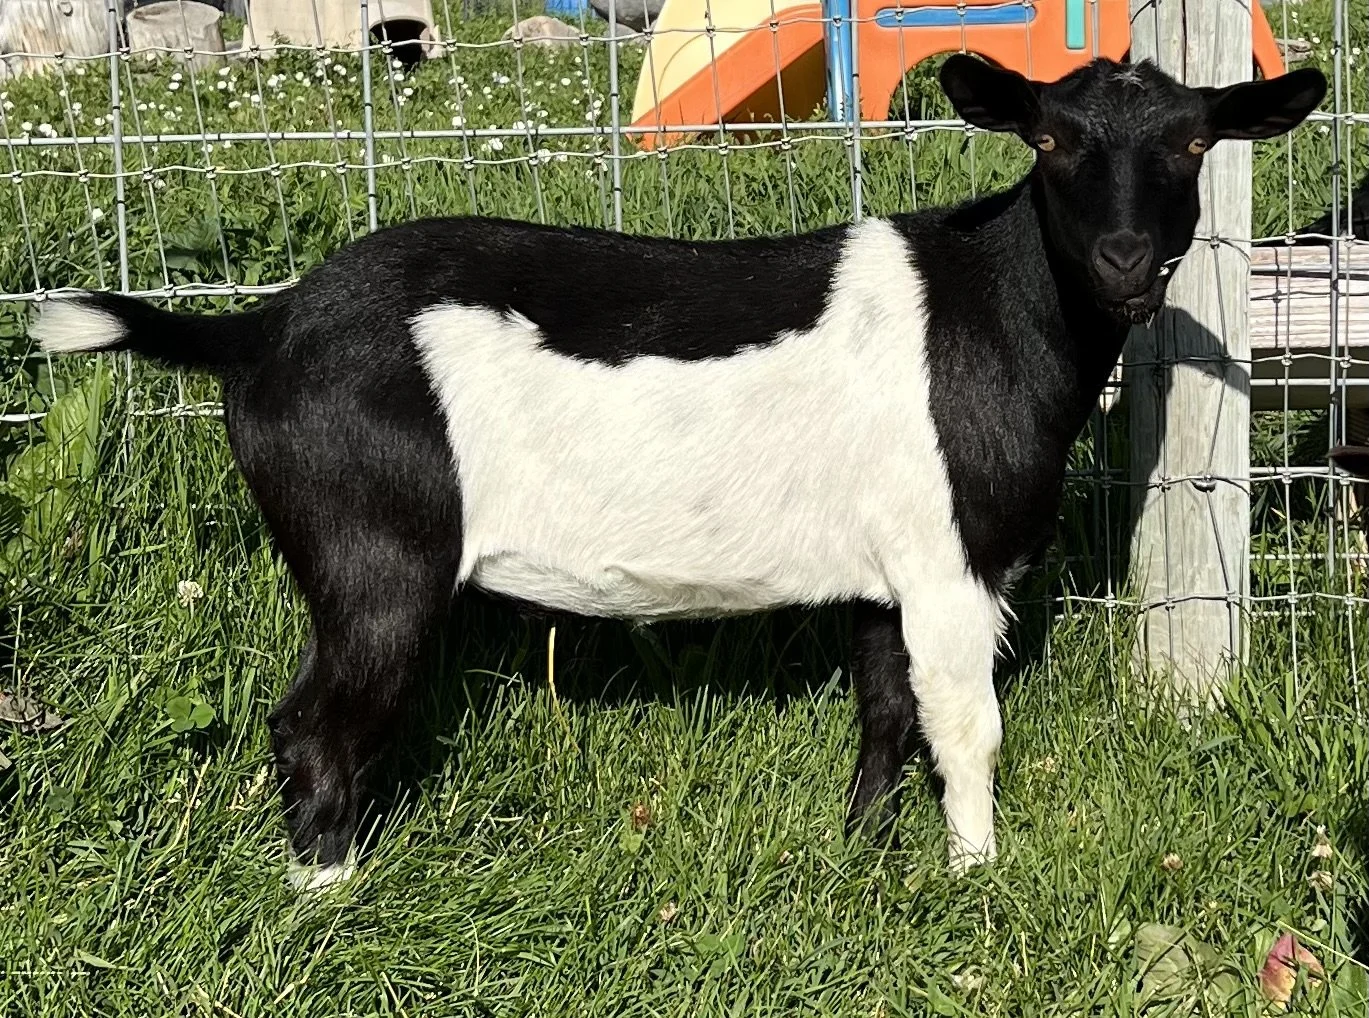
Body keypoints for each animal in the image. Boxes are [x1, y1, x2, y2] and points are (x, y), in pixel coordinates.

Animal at [31, 55, 1326, 889]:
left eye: (1193, 142)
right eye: (1050, 140)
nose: (1124, 259)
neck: (994, 313)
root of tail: (258, 328)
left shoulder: (883, 567)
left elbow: (884, 711)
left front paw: (863, 858)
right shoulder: (953, 565)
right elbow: (966, 724)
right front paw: (975, 876)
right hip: (374, 549)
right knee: (315, 725)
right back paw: (331, 896)